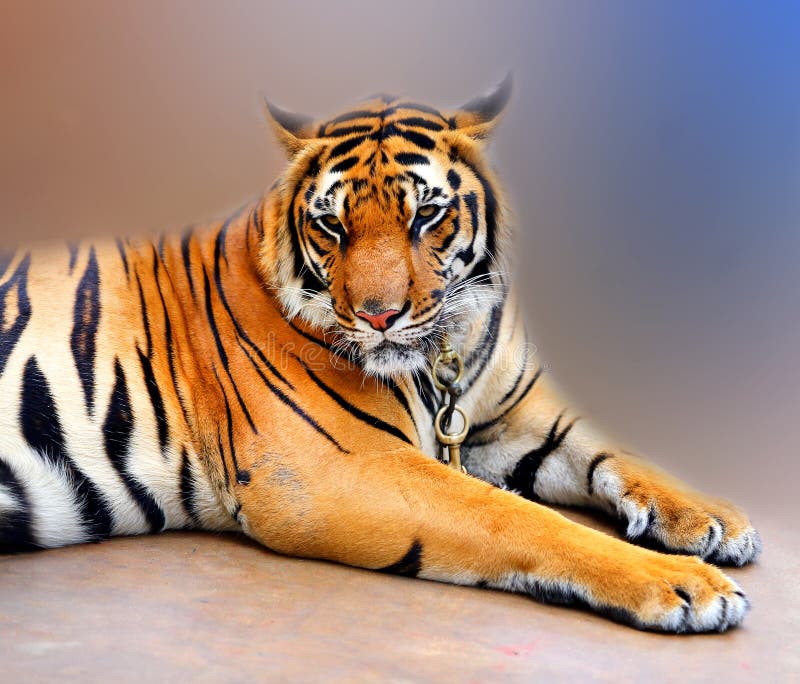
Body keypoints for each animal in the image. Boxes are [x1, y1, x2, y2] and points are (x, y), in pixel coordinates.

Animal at [0, 77, 761, 633]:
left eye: (427, 214)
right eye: (332, 224)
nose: (378, 316)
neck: (448, 351)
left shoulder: (515, 417)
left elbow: (614, 451)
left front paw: (716, 520)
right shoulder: (340, 466)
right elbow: (517, 516)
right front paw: (684, 584)